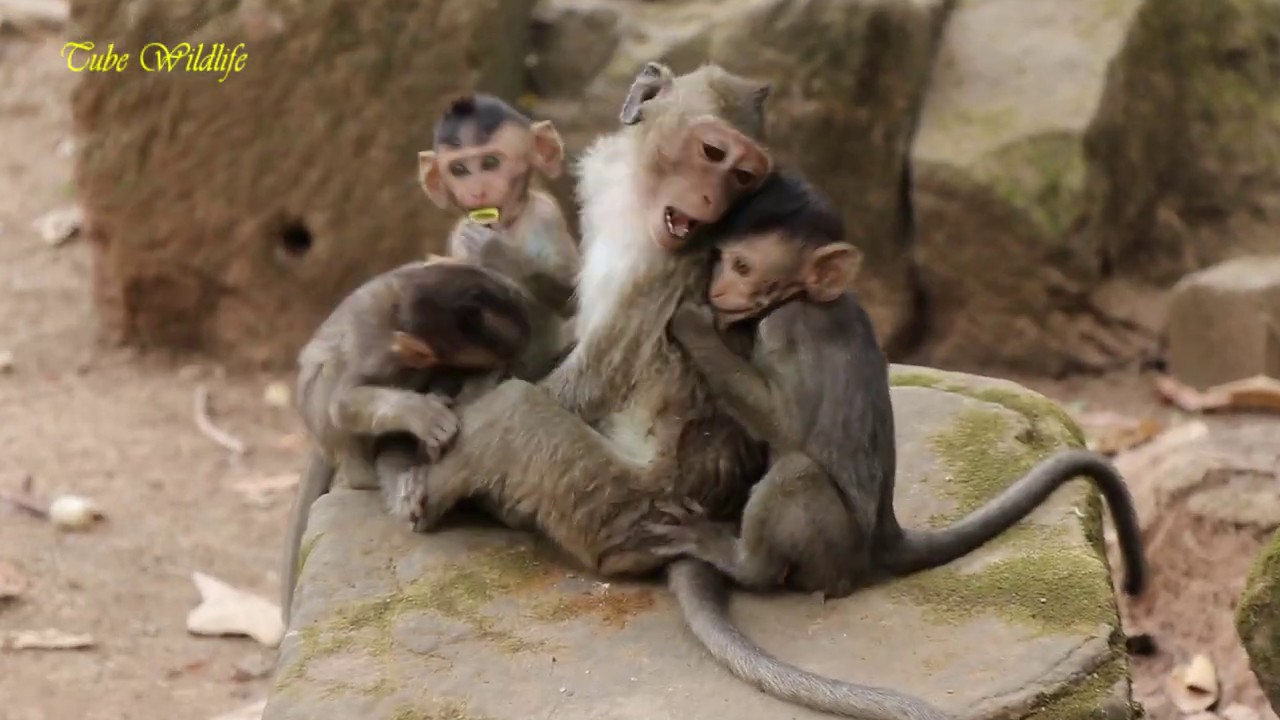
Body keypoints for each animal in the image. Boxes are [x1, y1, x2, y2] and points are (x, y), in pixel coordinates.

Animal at [279, 259, 534, 624]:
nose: (525, 340)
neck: (397, 308)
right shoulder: (378, 351)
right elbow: (343, 405)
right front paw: (422, 415)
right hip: (324, 420)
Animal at [417, 94, 581, 381]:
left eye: (490, 163)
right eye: (459, 169)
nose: (476, 191)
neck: (506, 225)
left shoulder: (546, 216)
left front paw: (495, 251)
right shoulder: (458, 235)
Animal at [644, 172, 1147, 608]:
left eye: (743, 266)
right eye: (722, 259)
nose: (718, 289)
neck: (804, 297)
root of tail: (883, 537)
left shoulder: (785, 328)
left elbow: (784, 424)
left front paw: (693, 325)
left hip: (833, 552)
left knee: (798, 474)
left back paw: (742, 562)